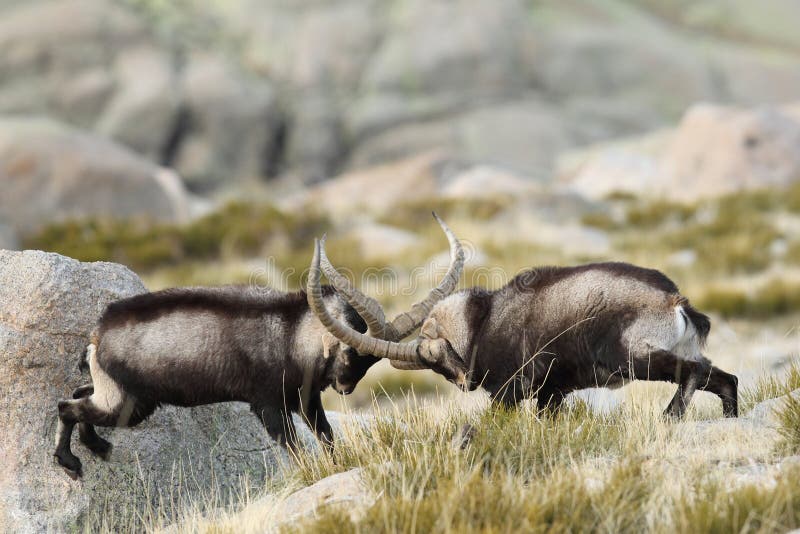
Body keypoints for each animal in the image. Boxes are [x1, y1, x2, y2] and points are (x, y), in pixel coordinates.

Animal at [53, 214, 464, 479]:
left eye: (370, 362)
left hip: (118, 394)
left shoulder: (307, 400)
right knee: (67, 406)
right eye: (350, 352)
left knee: (79, 394)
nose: (346, 386)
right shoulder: (268, 404)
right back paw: (70, 463)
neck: (293, 335)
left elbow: (327, 437)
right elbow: (295, 446)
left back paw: (97, 446)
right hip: (131, 404)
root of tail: (98, 334)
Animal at [309, 250, 738, 420]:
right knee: (724, 377)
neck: (482, 323)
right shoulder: (552, 393)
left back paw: (669, 418)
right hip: (682, 354)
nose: (464, 383)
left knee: (692, 375)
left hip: (639, 357)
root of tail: (675, 302)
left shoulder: (510, 391)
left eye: (434, 360)